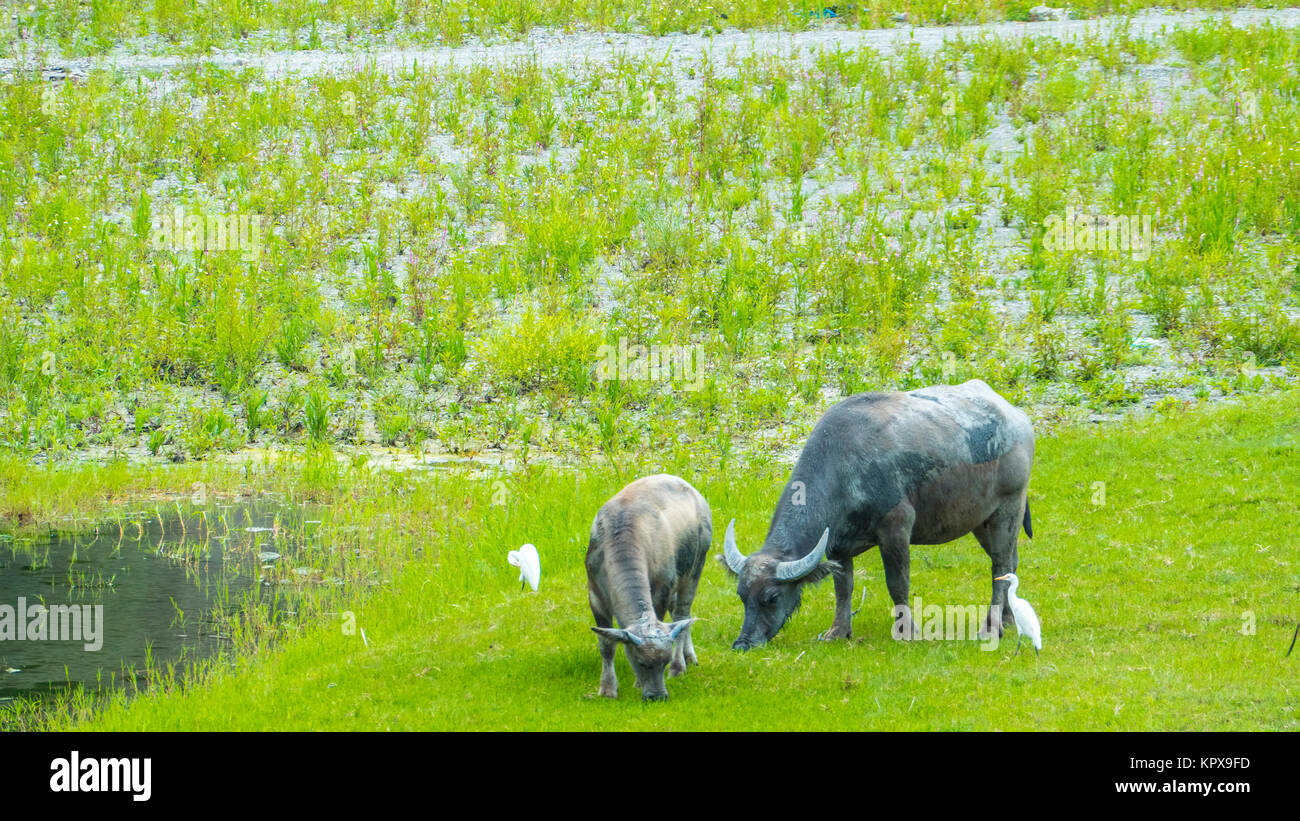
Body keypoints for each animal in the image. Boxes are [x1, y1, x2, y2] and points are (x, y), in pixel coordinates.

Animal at [586, 474, 712, 701]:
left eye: (664, 662)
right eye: (641, 662)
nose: (657, 696)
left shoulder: (661, 590)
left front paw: (637, 683)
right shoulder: (595, 596)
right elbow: (606, 646)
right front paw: (607, 689)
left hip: (694, 570)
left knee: (682, 613)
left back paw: (679, 666)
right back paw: (689, 657)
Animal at [725, 379, 1034, 650]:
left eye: (772, 597)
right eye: (741, 596)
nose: (743, 644)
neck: (843, 467)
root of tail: (1017, 417)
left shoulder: (896, 528)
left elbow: (897, 583)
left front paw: (907, 631)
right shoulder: (837, 545)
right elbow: (843, 586)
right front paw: (838, 631)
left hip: (1008, 509)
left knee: (999, 566)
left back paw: (991, 626)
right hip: (982, 521)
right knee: (1011, 563)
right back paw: (1008, 619)